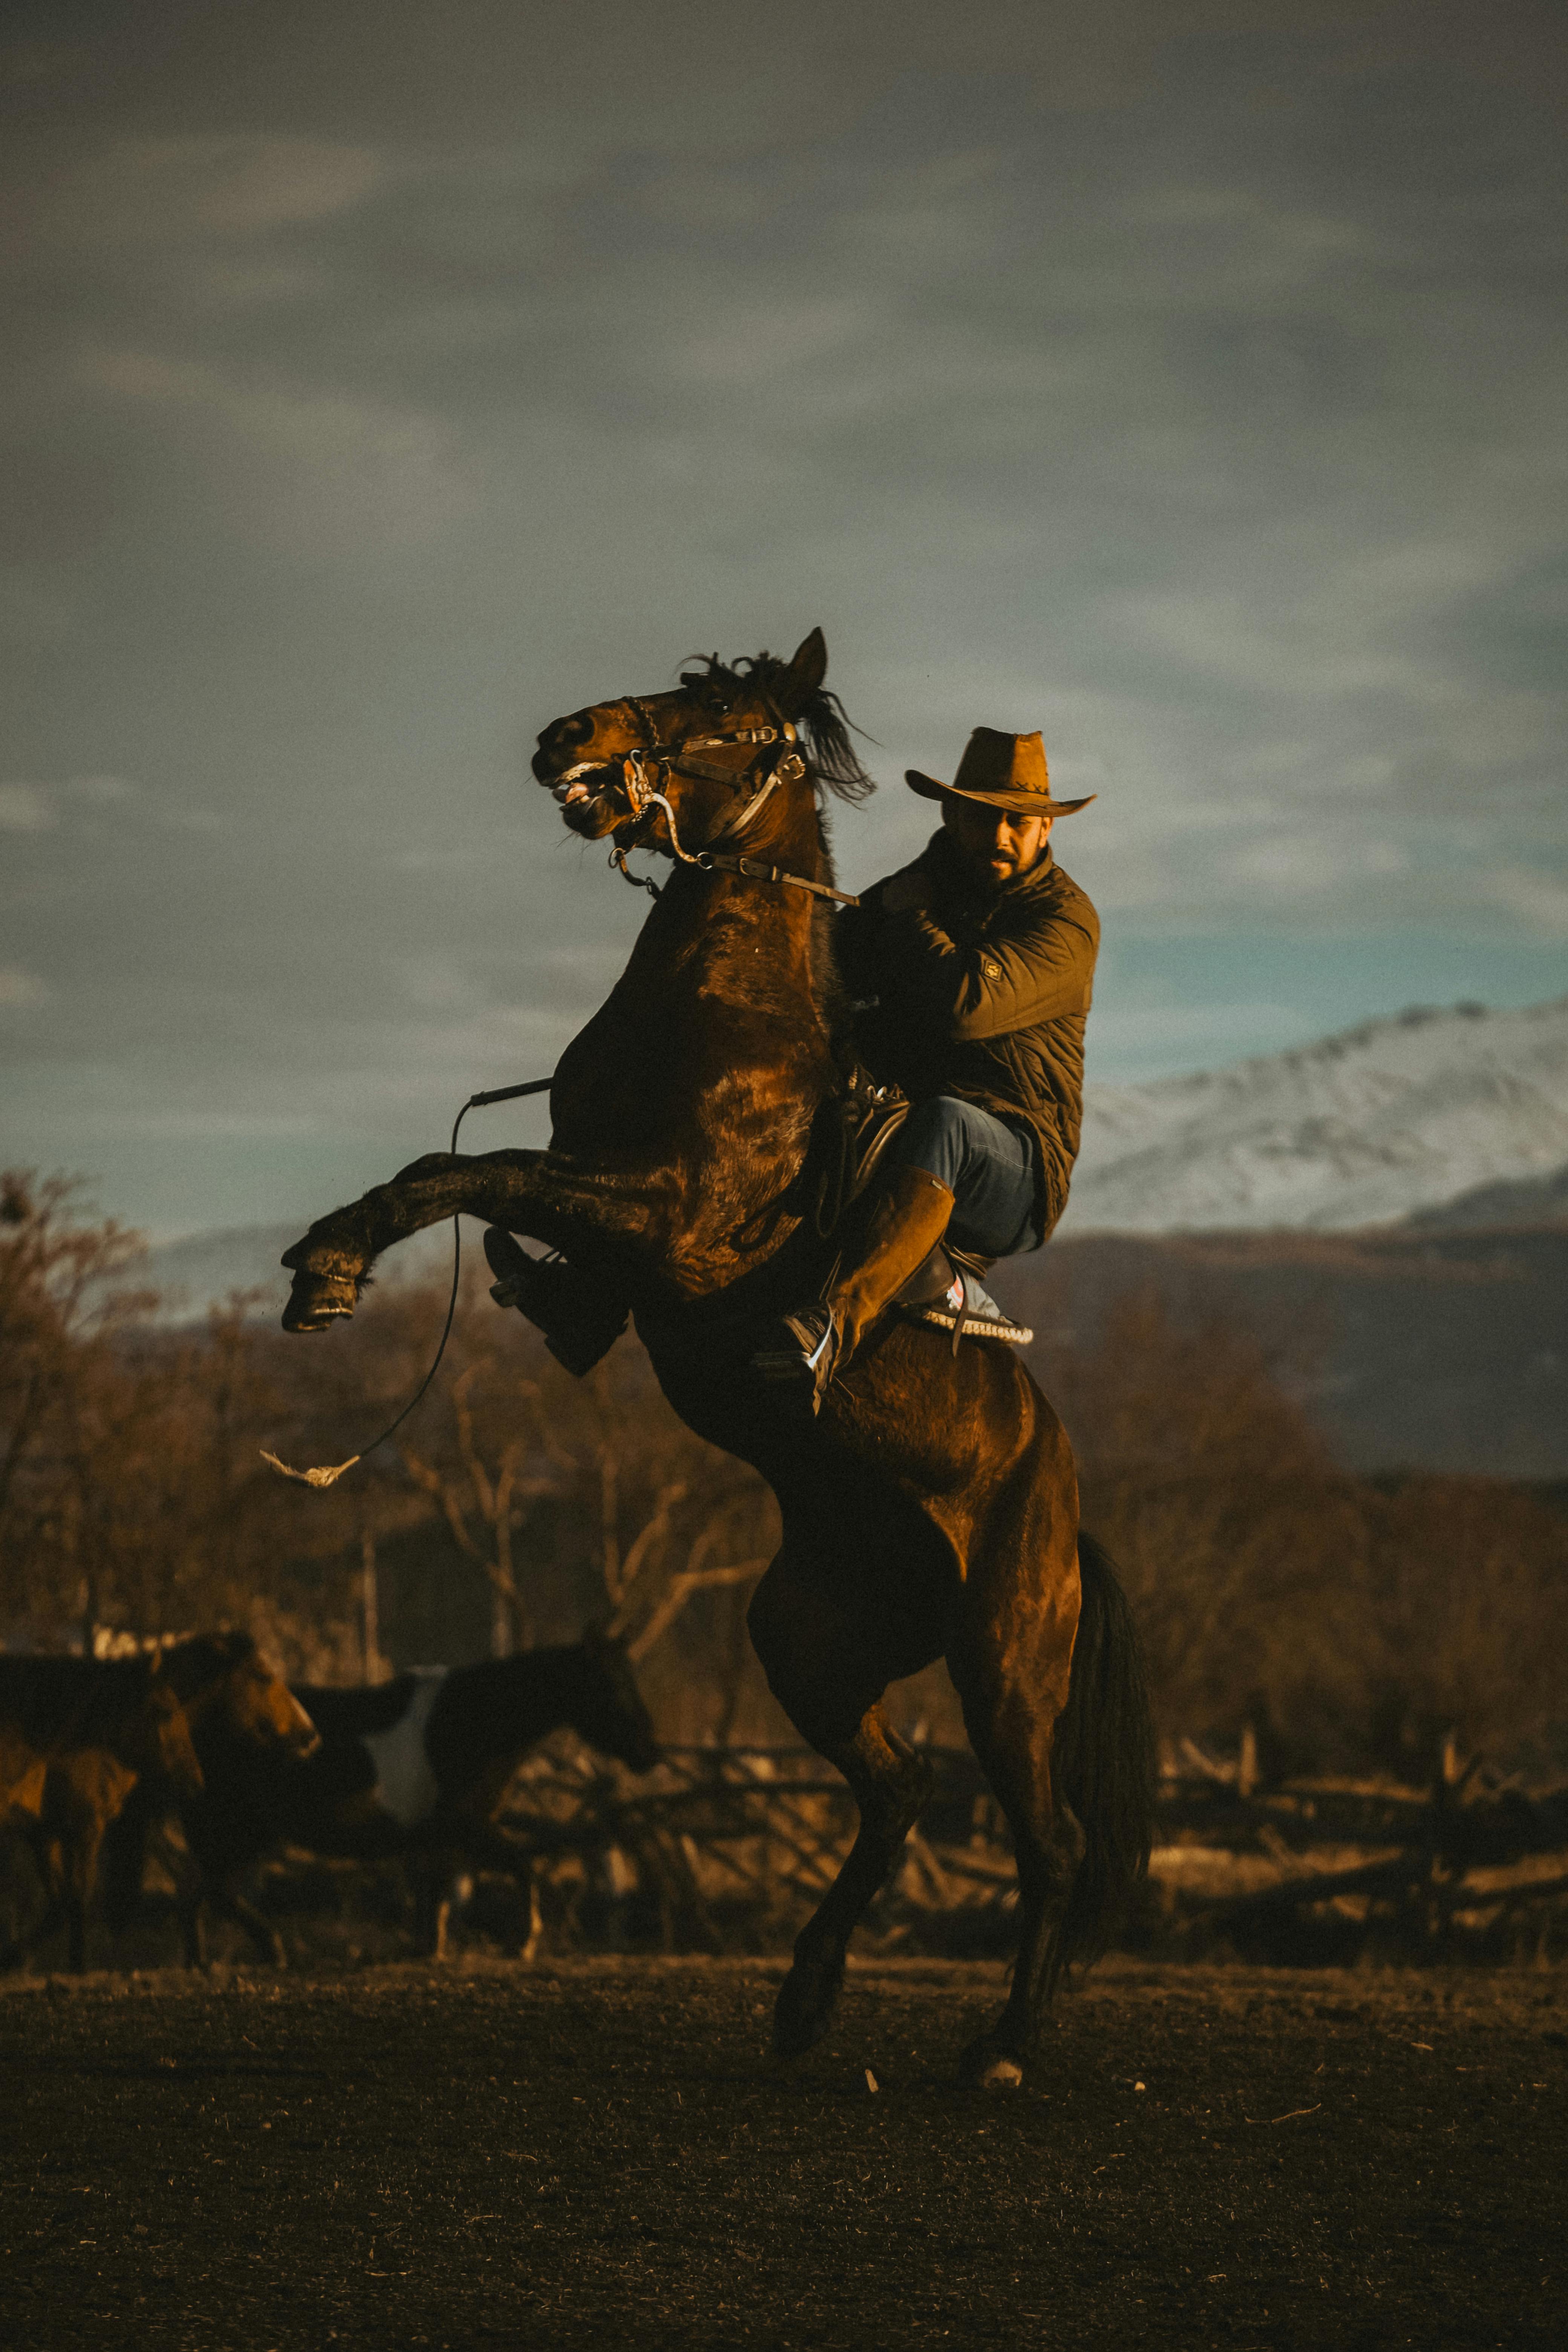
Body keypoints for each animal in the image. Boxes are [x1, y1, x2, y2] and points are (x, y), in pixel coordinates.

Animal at [0, 1653, 204, 1972]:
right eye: (166, 1713)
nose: (196, 1781)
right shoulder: (84, 1830)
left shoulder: (45, 1834)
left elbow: (61, 1904)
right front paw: (78, 1965)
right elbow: (77, 1897)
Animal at [150, 1632, 659, 1965]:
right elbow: (523, 1868)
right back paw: (270, 1950)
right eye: (609, 1685)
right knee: (213, 1892)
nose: (649, 1752)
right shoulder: (468, 1827)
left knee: (197, 1894)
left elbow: (436, 1897)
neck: (470, 1721)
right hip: (235, 1834)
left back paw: (203, 1962)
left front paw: (429, 1952)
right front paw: (524, 1942)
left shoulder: (440, 1838)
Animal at [278, 629, 1155, 2084]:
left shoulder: (664, 1213)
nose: (567, 738)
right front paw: (396, 1270)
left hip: (1005, 1663)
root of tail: (1064, 1499)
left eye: (730, 712)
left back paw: (1000, 2050)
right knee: (900, 1789)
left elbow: (474, 1166)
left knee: (1052, 1841)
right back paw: (804, 2001)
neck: (723, 1010)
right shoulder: (608, 1198)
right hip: (806, 1640)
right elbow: (481, 1180)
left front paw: (333, 1261)